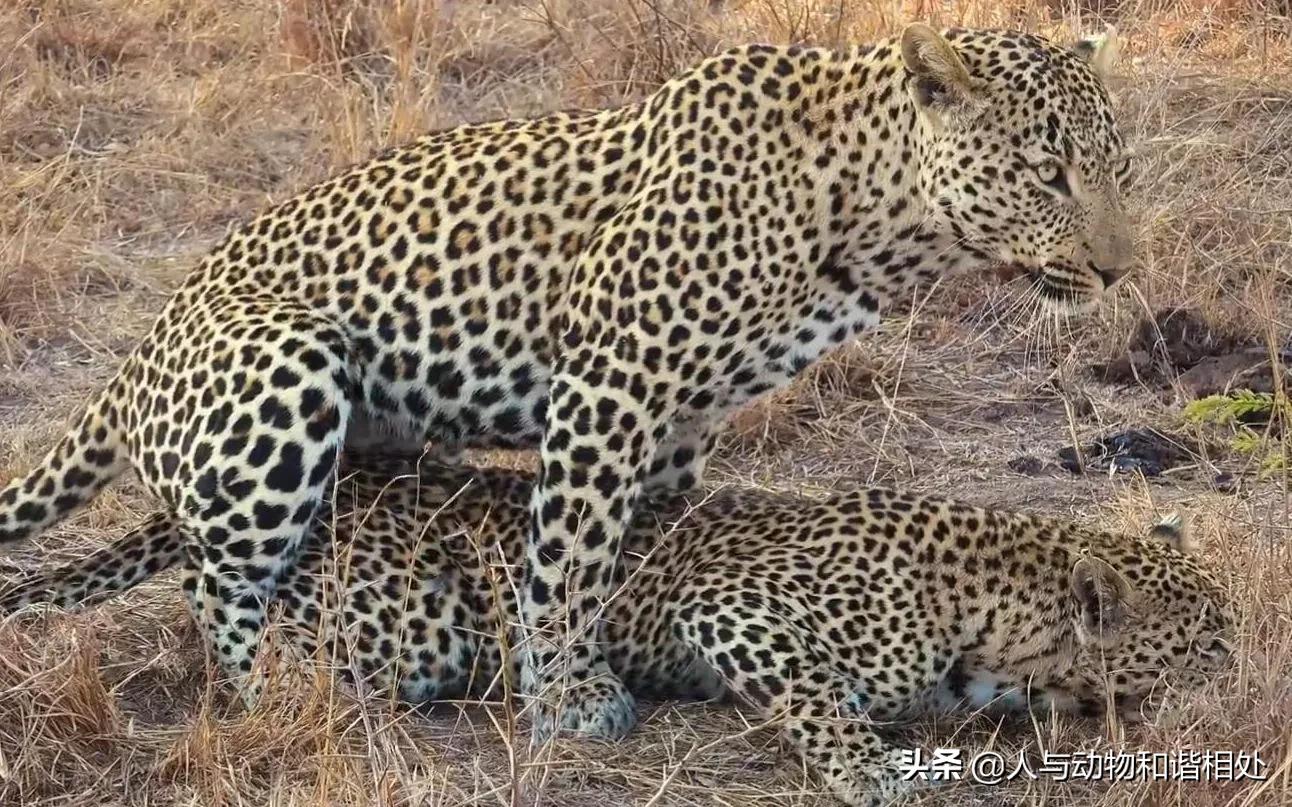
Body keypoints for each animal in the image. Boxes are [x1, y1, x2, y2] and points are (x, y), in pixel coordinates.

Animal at [0, 22, 1135, 740]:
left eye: (1118, 170)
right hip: (291, 360)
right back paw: (285, 692)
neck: (871, 218)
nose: (1119, 270)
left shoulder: (686, 414)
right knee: (215, 579)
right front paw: (569, 691)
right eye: (1048, 174)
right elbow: (573, 554)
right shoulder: (610, 381)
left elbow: (648, 536)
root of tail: (135, 360)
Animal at [1, 455, 1233, 806]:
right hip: (414, 620)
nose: (1241, 660)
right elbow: (821, 701)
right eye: (1209, 639)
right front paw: (877, 772)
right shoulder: (735, 607)